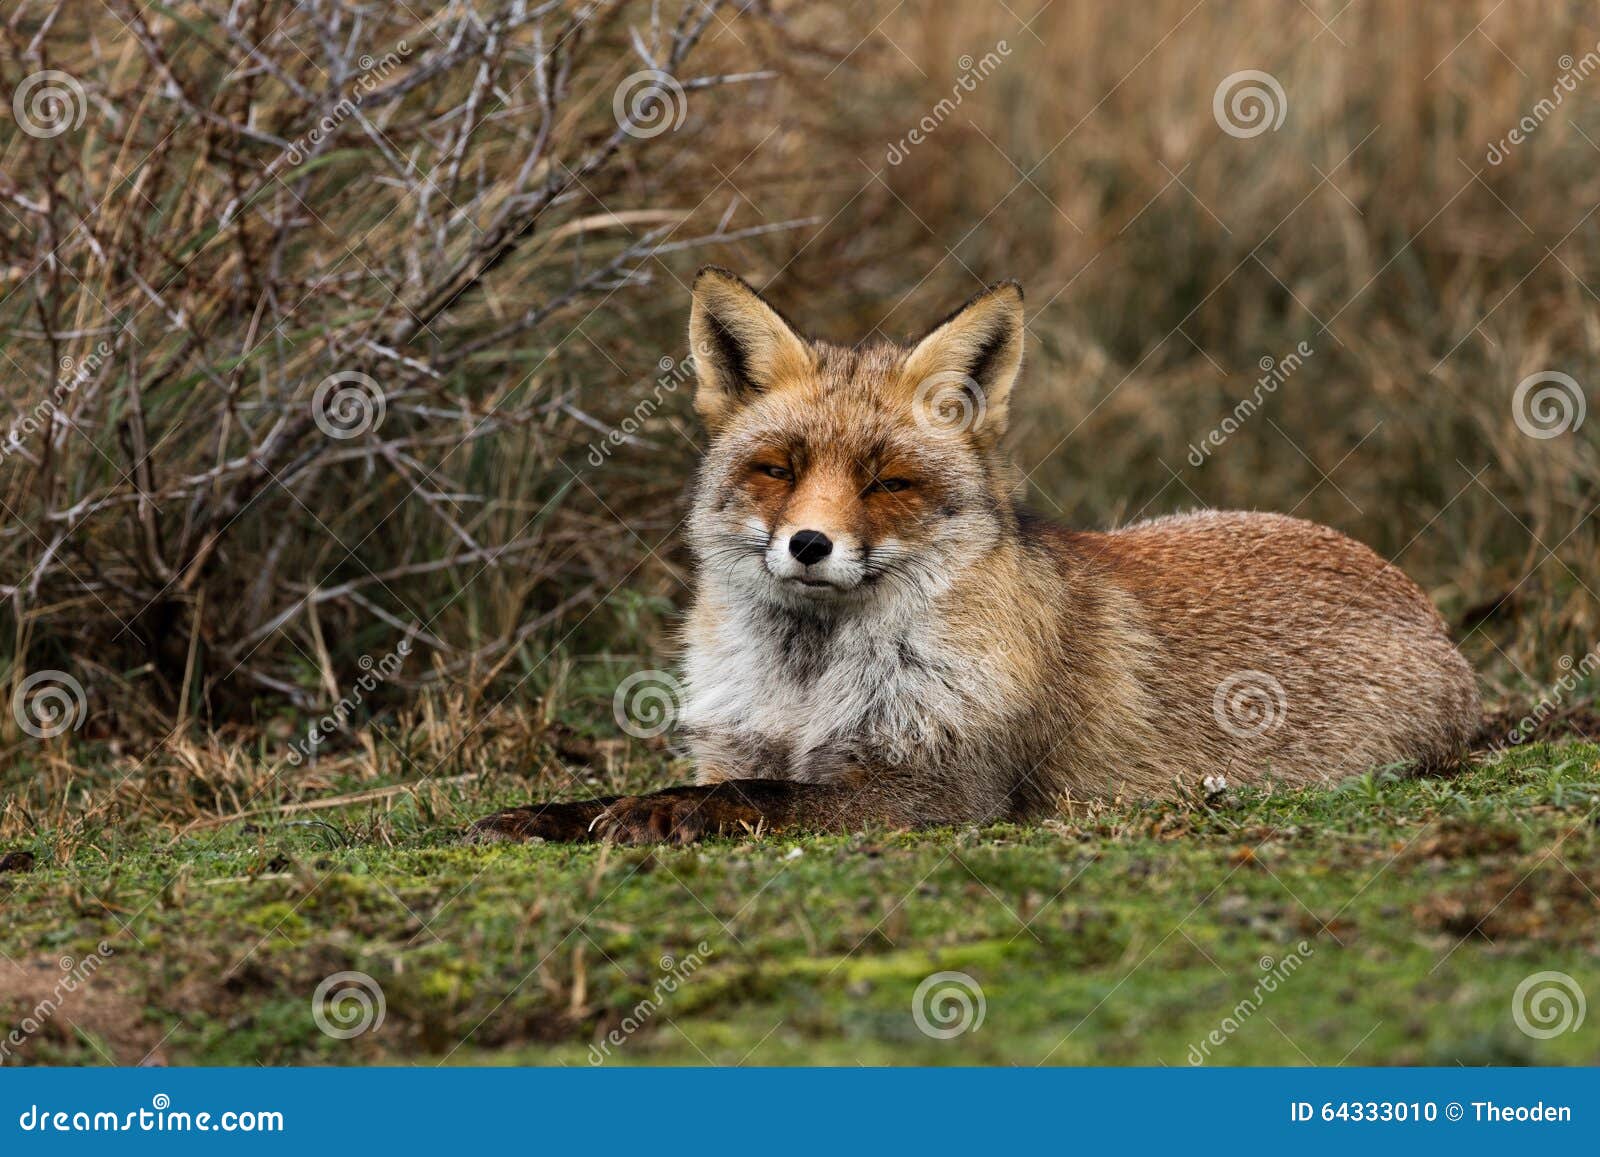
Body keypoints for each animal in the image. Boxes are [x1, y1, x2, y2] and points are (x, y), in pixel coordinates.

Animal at [469, 268, 1480, 846]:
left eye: (888, 481)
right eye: (779, 468)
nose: (809, 543)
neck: (808, 682)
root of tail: (1421, 603)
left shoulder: (941, 786)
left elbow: (762, 796)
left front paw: (653, 816)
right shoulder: (737, 745)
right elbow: (684, 781)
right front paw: (544, 816)